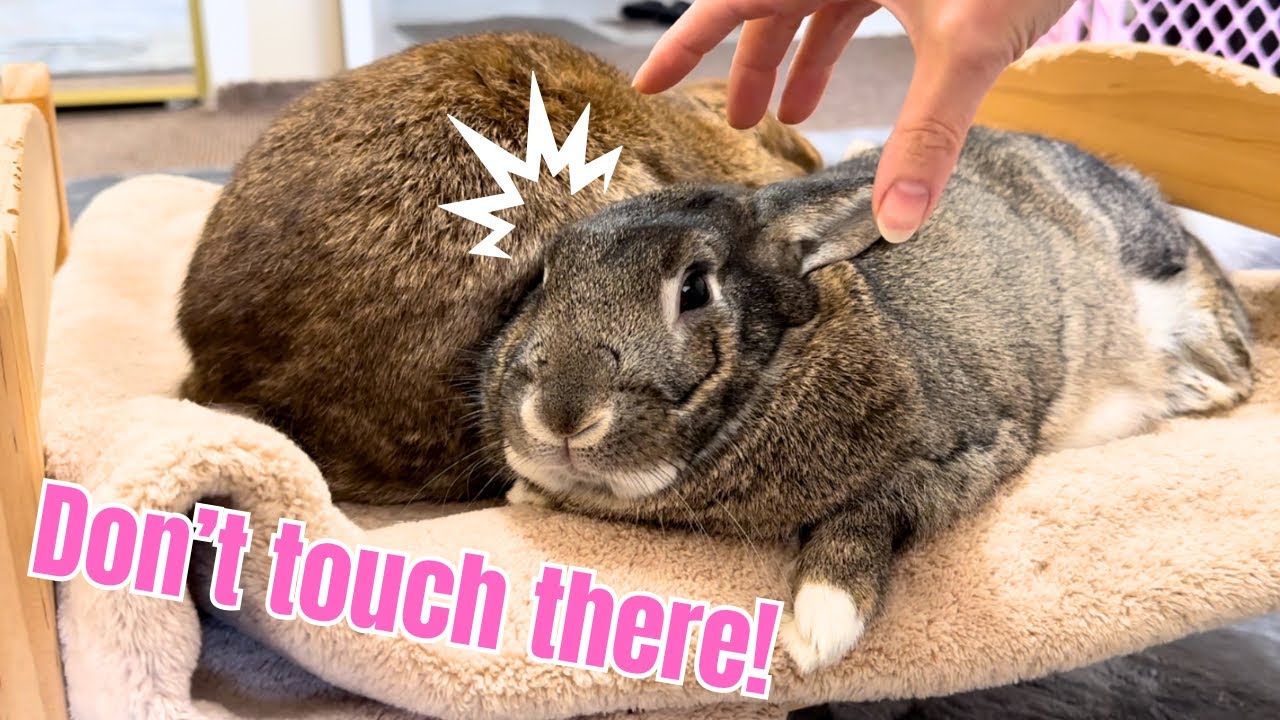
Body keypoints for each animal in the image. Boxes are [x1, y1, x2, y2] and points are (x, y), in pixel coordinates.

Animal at [479, 125, 1255, 674]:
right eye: (545, 277)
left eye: (695, 288)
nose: (562, 416)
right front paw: (530, 491)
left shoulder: (971, 453)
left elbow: (874, 511)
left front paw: (821, 625)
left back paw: (1208, 377)